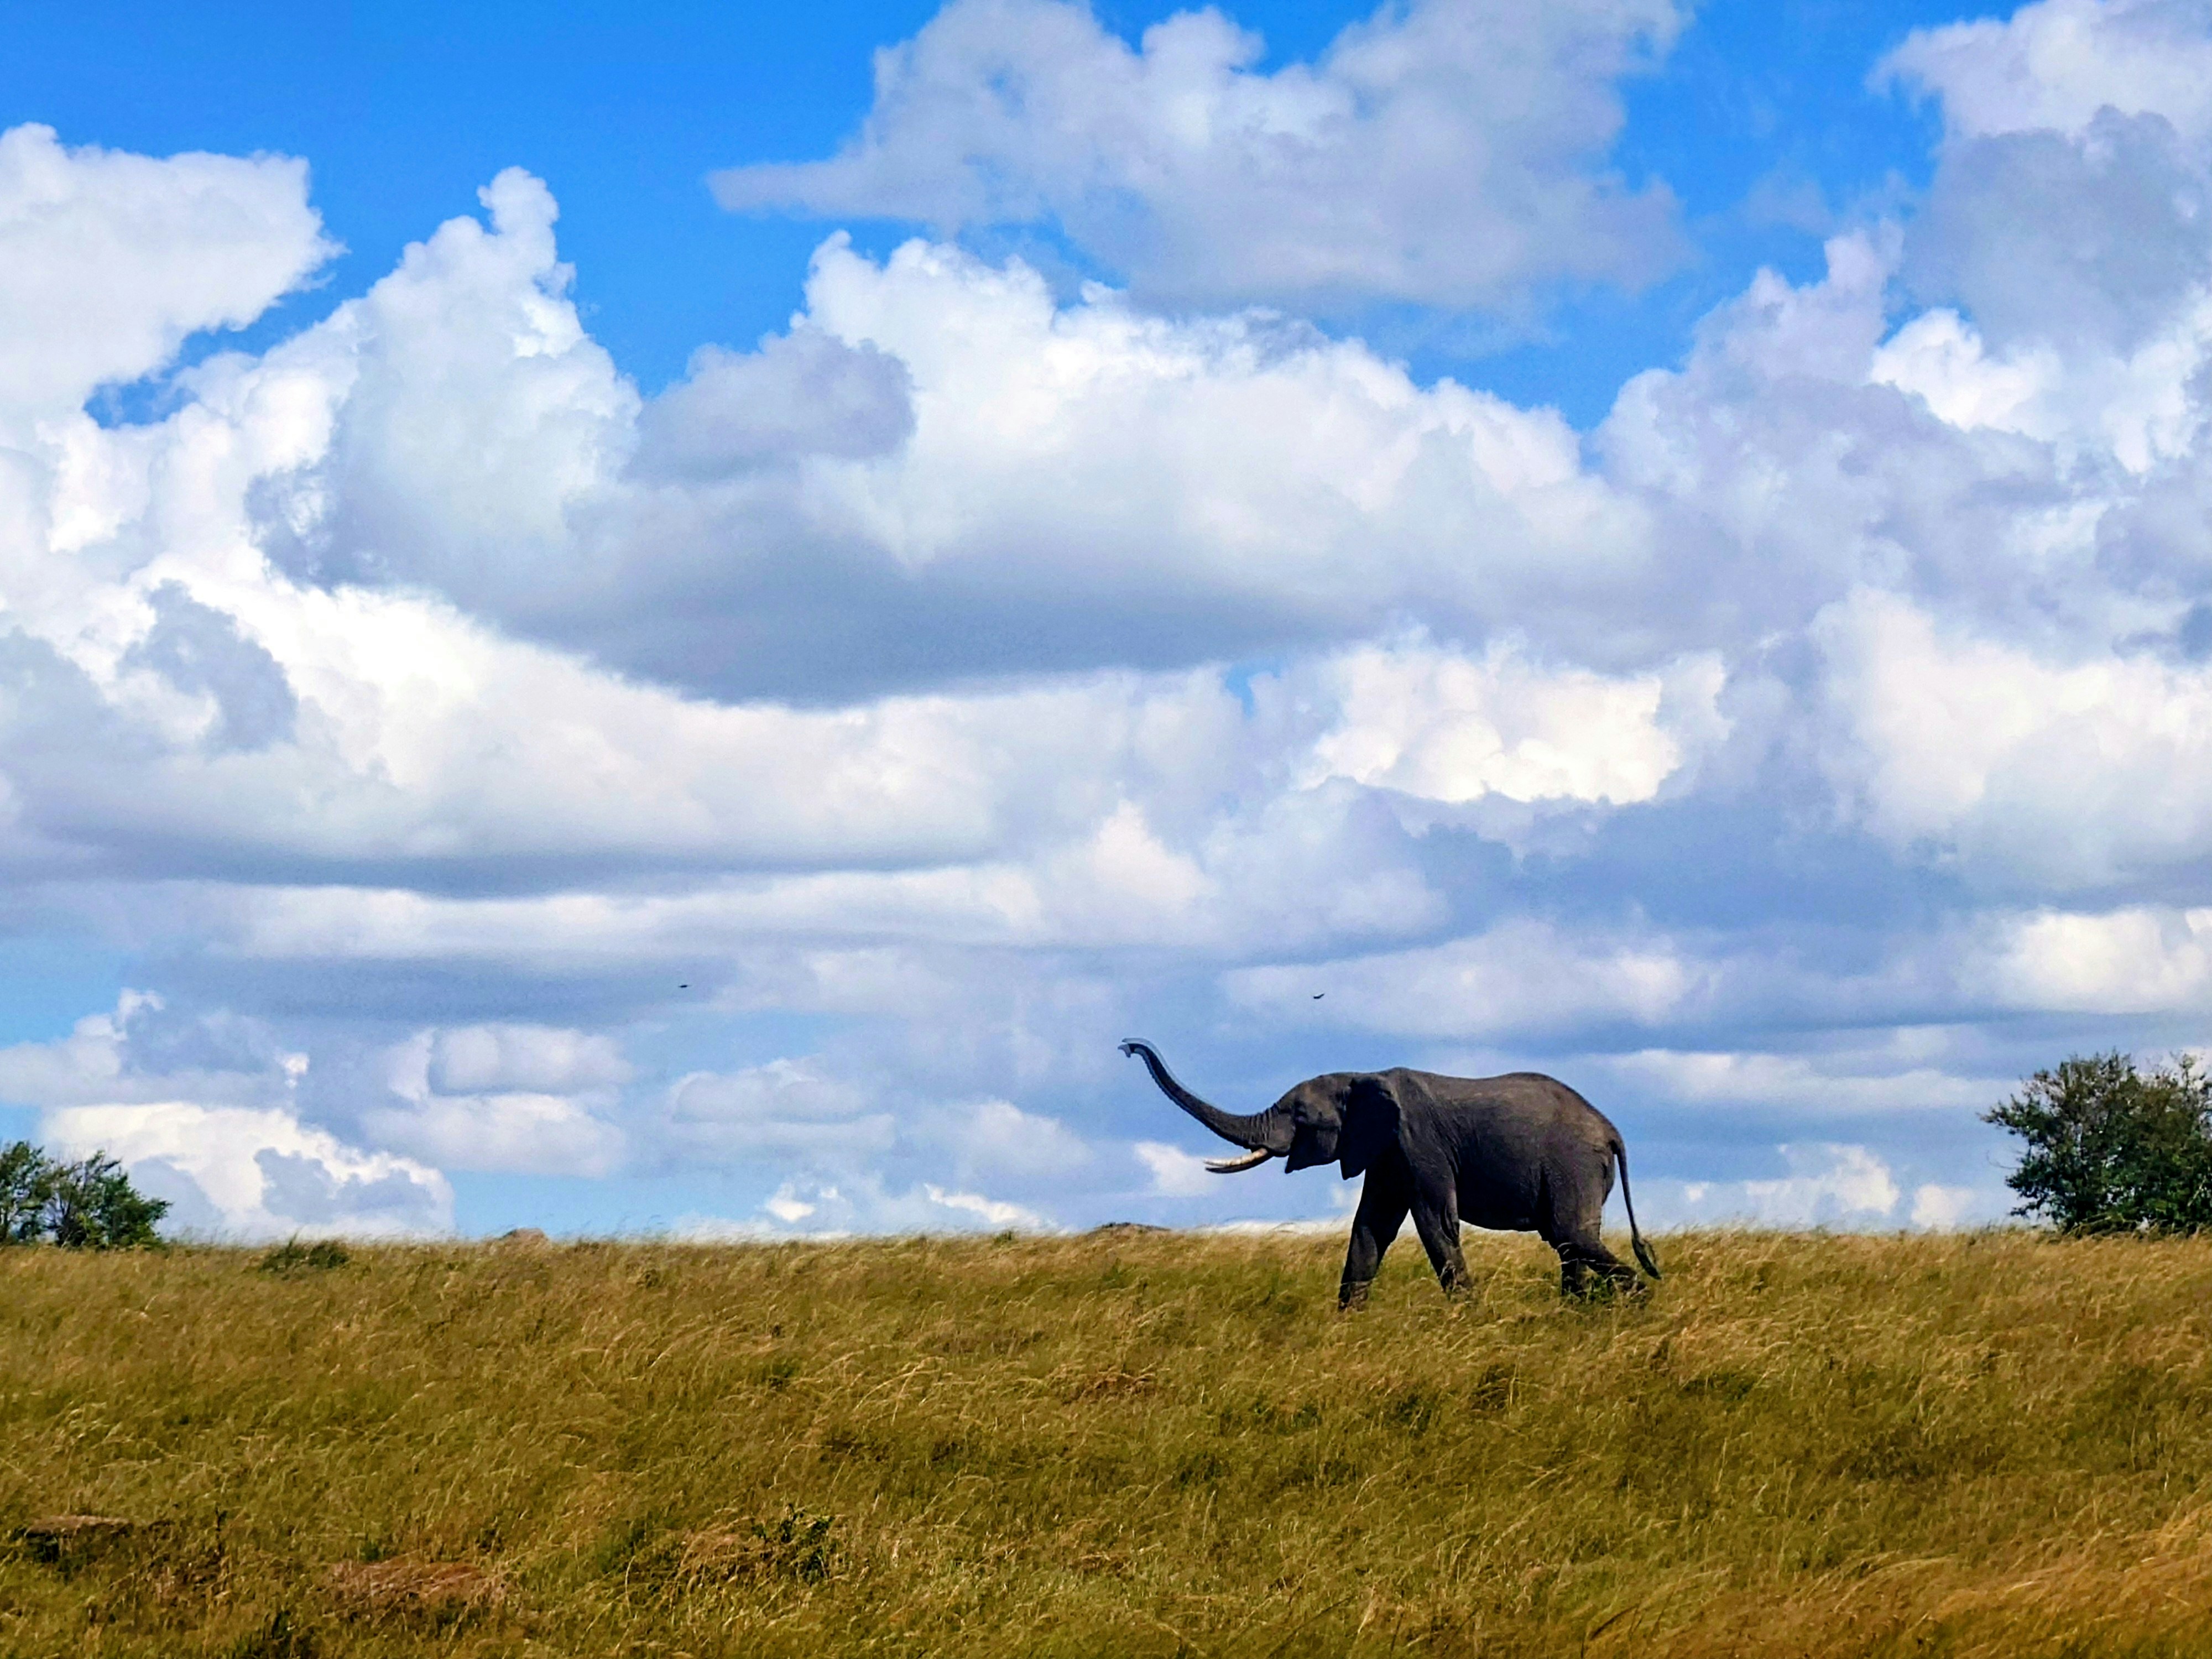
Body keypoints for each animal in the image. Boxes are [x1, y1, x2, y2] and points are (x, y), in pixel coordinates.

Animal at [1120, 1040, 1660, 1308]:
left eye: (1299, 1117)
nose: (1127, 1048)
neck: (1361, 1075)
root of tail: (1612, 1130)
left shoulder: (1418, 1145)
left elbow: (1436, 1224)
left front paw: (1468, 1318)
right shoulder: (1385, 1155)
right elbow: (1369, 1229)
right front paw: (1346, 1324)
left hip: (1574, 1164)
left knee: (1570, 1235)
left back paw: (1639, 1300)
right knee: (1568, 1243)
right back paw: (1580, 1312)